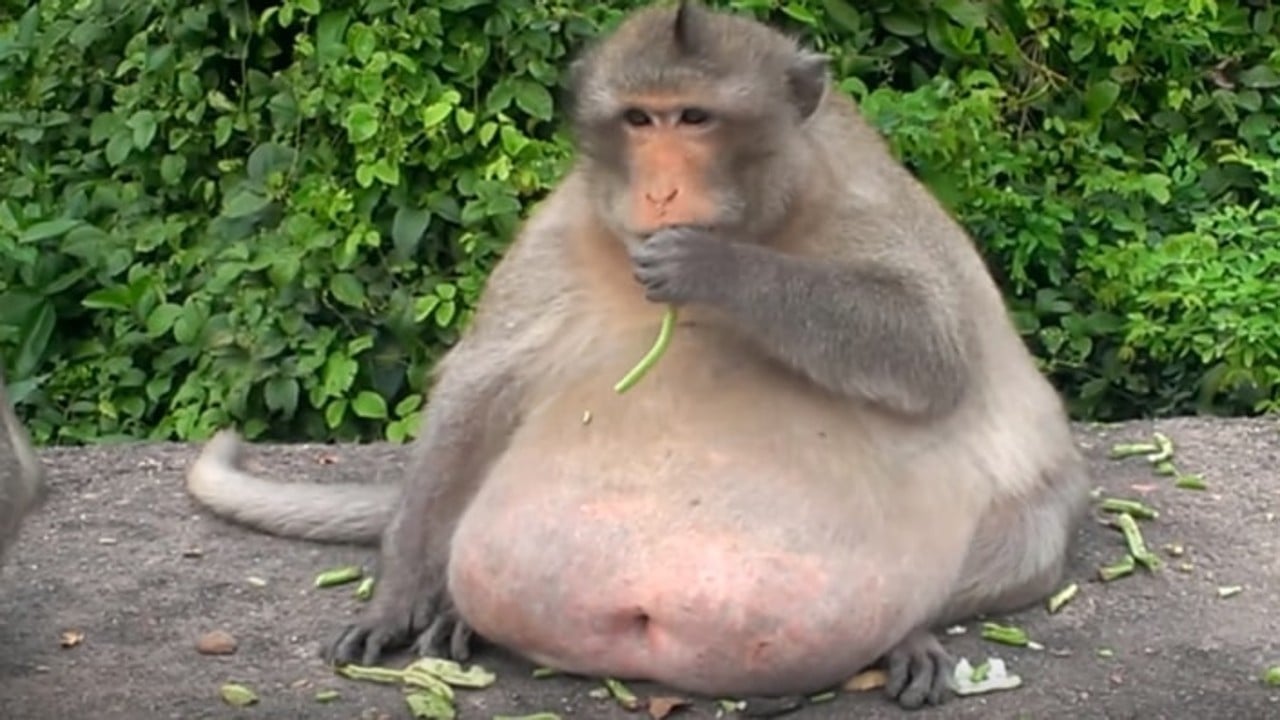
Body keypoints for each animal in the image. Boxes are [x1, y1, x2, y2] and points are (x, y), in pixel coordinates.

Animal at [185, 0, 1091, 709]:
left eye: (694, 118)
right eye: (638, 119)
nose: (659, 190)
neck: (764, 214)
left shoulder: (863, 198)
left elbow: (930, 347)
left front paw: (714, 268)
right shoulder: (565, 227)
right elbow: (477, 388)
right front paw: (401, 595)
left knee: (1031, 531)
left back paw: (904, 636)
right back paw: (458, 613)